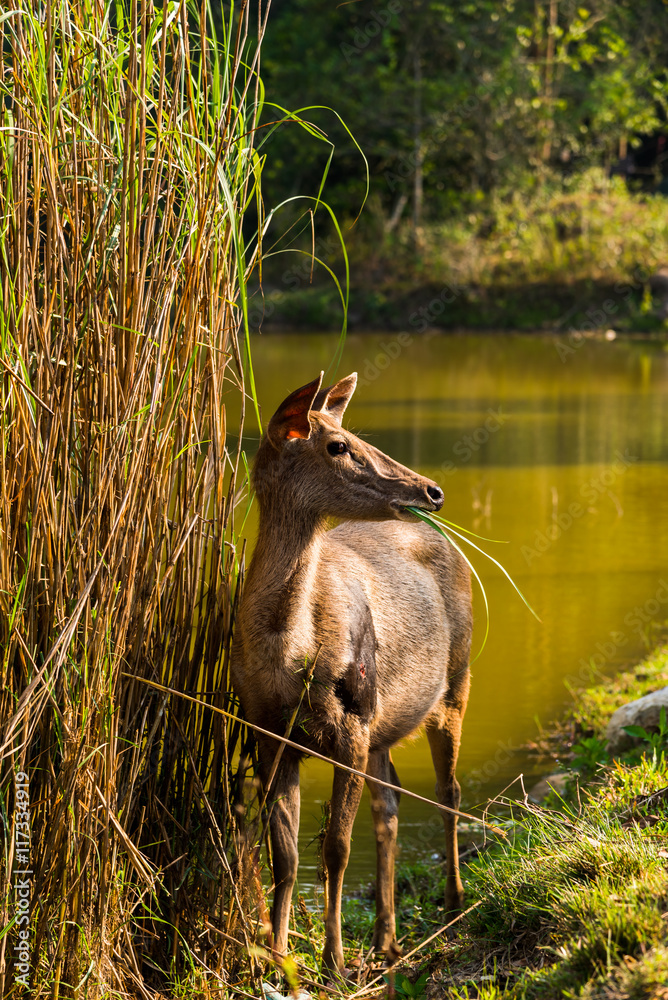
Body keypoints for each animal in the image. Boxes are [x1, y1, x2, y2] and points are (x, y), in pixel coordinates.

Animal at [231, 372, 472, 975]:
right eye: (338, 445)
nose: (432, 491)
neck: (288, 657)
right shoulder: (267, 729)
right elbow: (285, 855)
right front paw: (277, 955)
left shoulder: (352, 720)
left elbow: (336, 850)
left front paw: (334, 959)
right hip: (385, 720)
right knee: (391, 803)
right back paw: (387, 939)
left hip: (454, 681)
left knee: (449, 790)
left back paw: (454, 903)